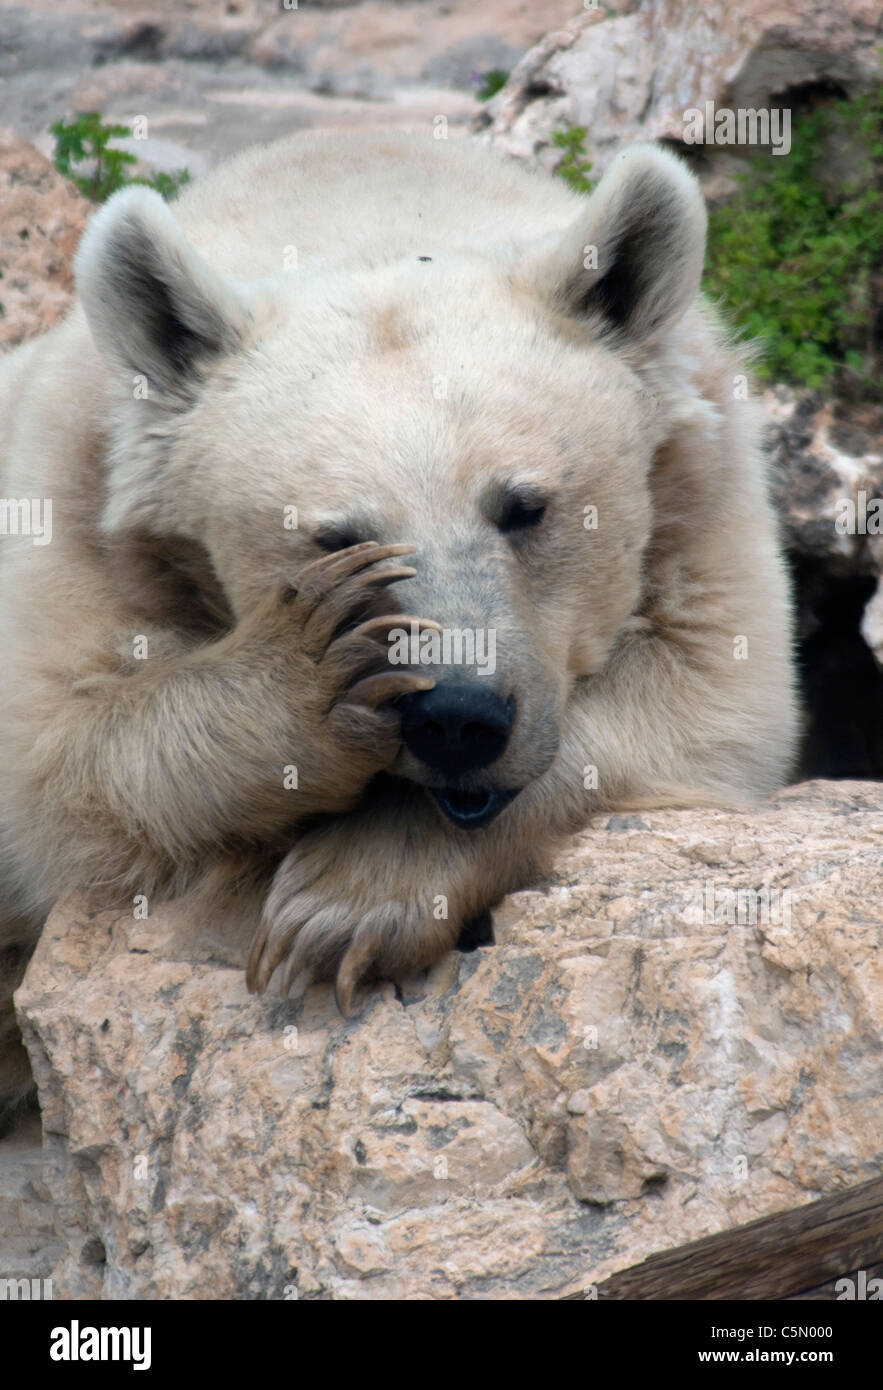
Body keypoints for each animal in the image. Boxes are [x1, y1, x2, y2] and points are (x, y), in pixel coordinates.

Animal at [0, 129, 799, 1129]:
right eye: (338, 537)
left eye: (524, 507)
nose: (455, 716)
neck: (371, 198)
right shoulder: (74, 503)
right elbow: (62, 759)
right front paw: (300, 688)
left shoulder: (703, 489)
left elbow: (708, 692)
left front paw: (347, 900)